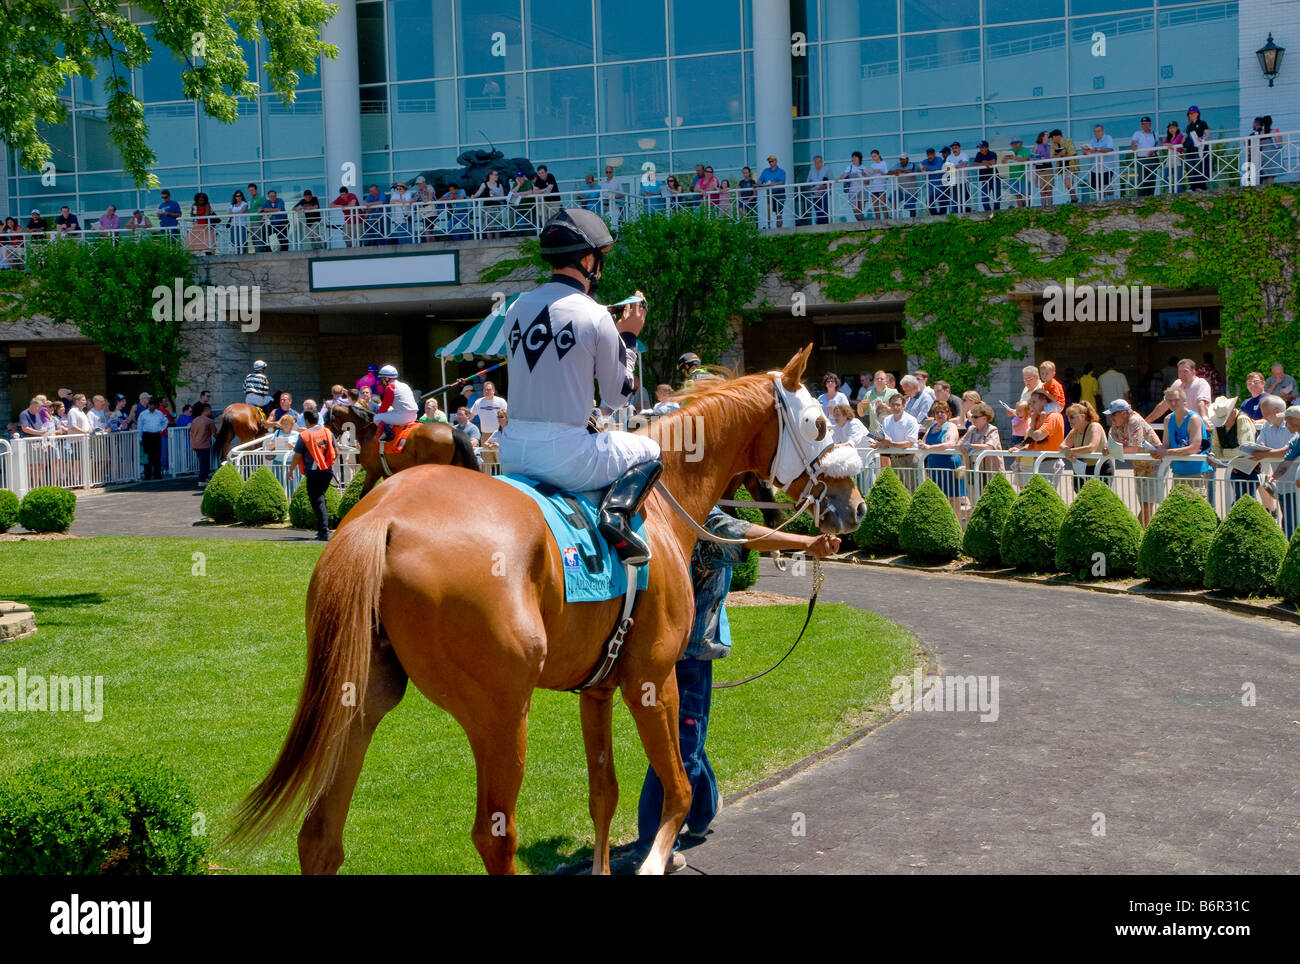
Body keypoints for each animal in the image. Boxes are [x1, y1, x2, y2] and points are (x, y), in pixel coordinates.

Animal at [325, 402, 478, 496]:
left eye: (328, 417)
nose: (326, 432)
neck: (369, 430)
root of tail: (452, 430)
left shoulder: (373, 472)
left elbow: (363, 495)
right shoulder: (386, 474)